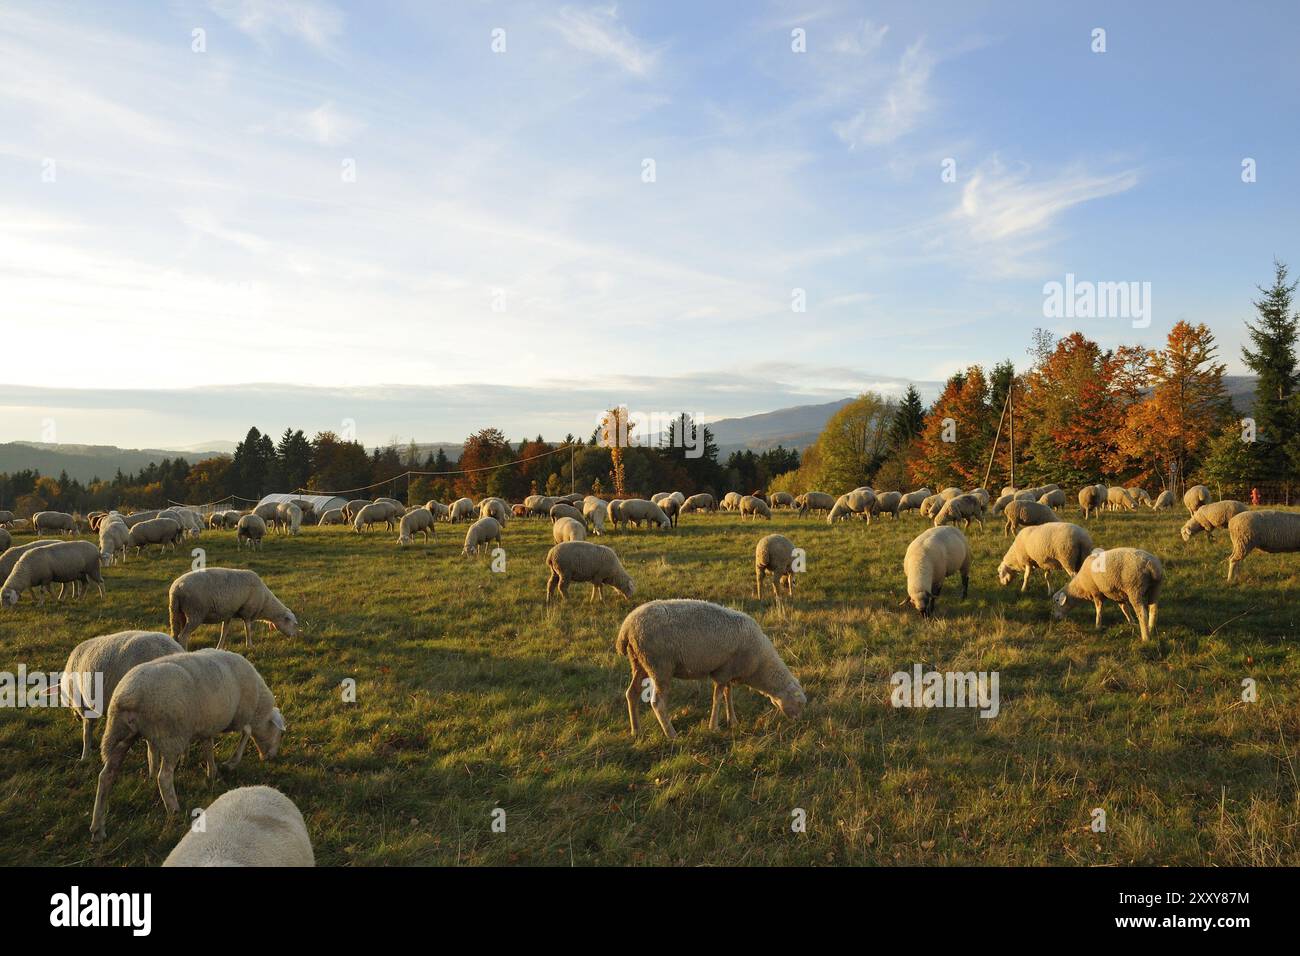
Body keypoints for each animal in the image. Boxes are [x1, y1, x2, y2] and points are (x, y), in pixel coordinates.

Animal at [89, 648, 286, 841]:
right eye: (280, 734)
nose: (271, 757)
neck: (259, 707)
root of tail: (128, 696)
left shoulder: (208, 723)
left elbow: (208, 746)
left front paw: (212, 772)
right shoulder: (243, 714)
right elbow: (246, 733)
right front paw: (230, 763)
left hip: (120, 735)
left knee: (106, 776)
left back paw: (98, 828)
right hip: (171, 737)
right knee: (164, 777)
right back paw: (175, 810)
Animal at [168, 567, 299, 650]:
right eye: (293, 624)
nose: (295, 637)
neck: (265, 602)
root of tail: (176, 589)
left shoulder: (228, 614)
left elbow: (224, 631)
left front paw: (220, 647)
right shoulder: (248, 612)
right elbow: (248, 629)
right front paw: (250, 646)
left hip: (177, 613)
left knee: (175, 635)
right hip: (195, 613)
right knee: (183, 637)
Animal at [616, 599, 806, 739]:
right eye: (799, 703)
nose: (798, 722)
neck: (760, 665)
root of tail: (626, 628)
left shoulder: (728, 669)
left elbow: (728, 695)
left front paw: (733, 721)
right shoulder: (723, 672)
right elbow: (718, 698)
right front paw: (713, 727)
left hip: (639, 662)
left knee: (632, 693)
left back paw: (636, 730)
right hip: (660, 666)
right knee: (658, 703)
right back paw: (671, 735)